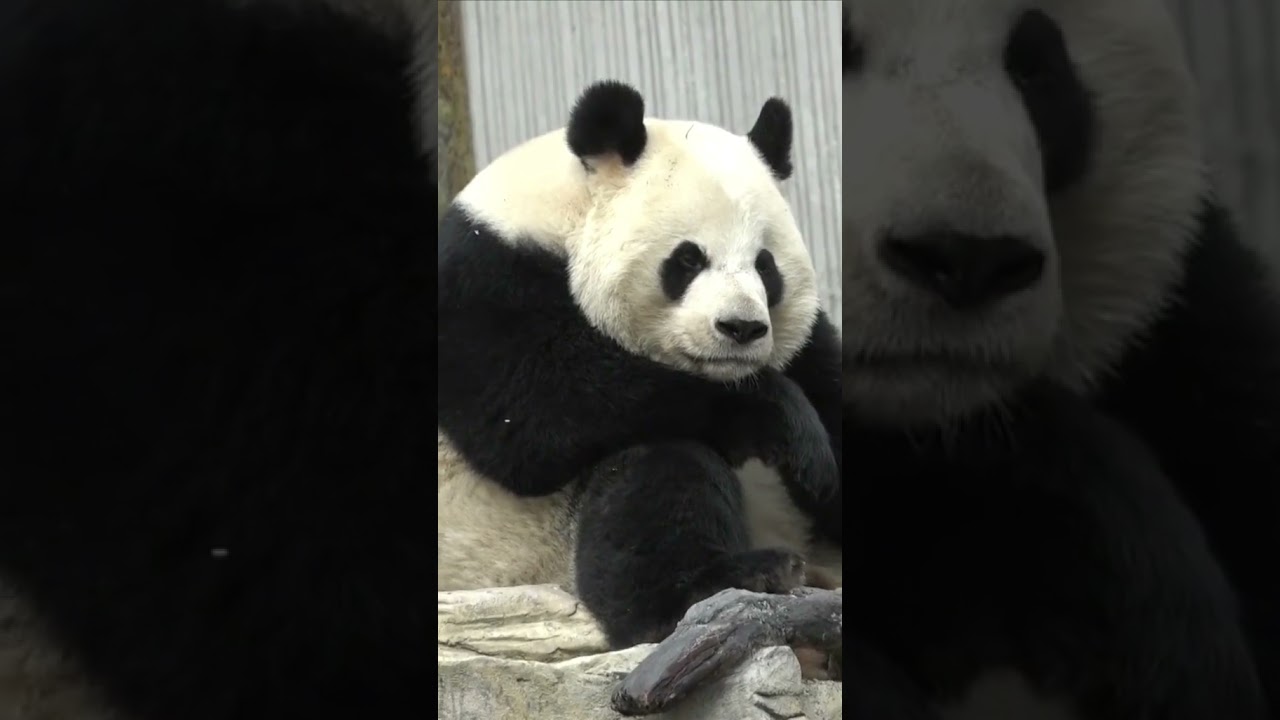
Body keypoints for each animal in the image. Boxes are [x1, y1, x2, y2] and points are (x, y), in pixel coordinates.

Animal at [436, 80, 844, 653]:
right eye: (688, 259)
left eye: (766, 266)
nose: (741, 328)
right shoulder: (481, 281)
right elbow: (538, 414)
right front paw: (792, 431)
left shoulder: (805, 347)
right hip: (509, 553)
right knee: (656, 467)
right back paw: (723, 582)